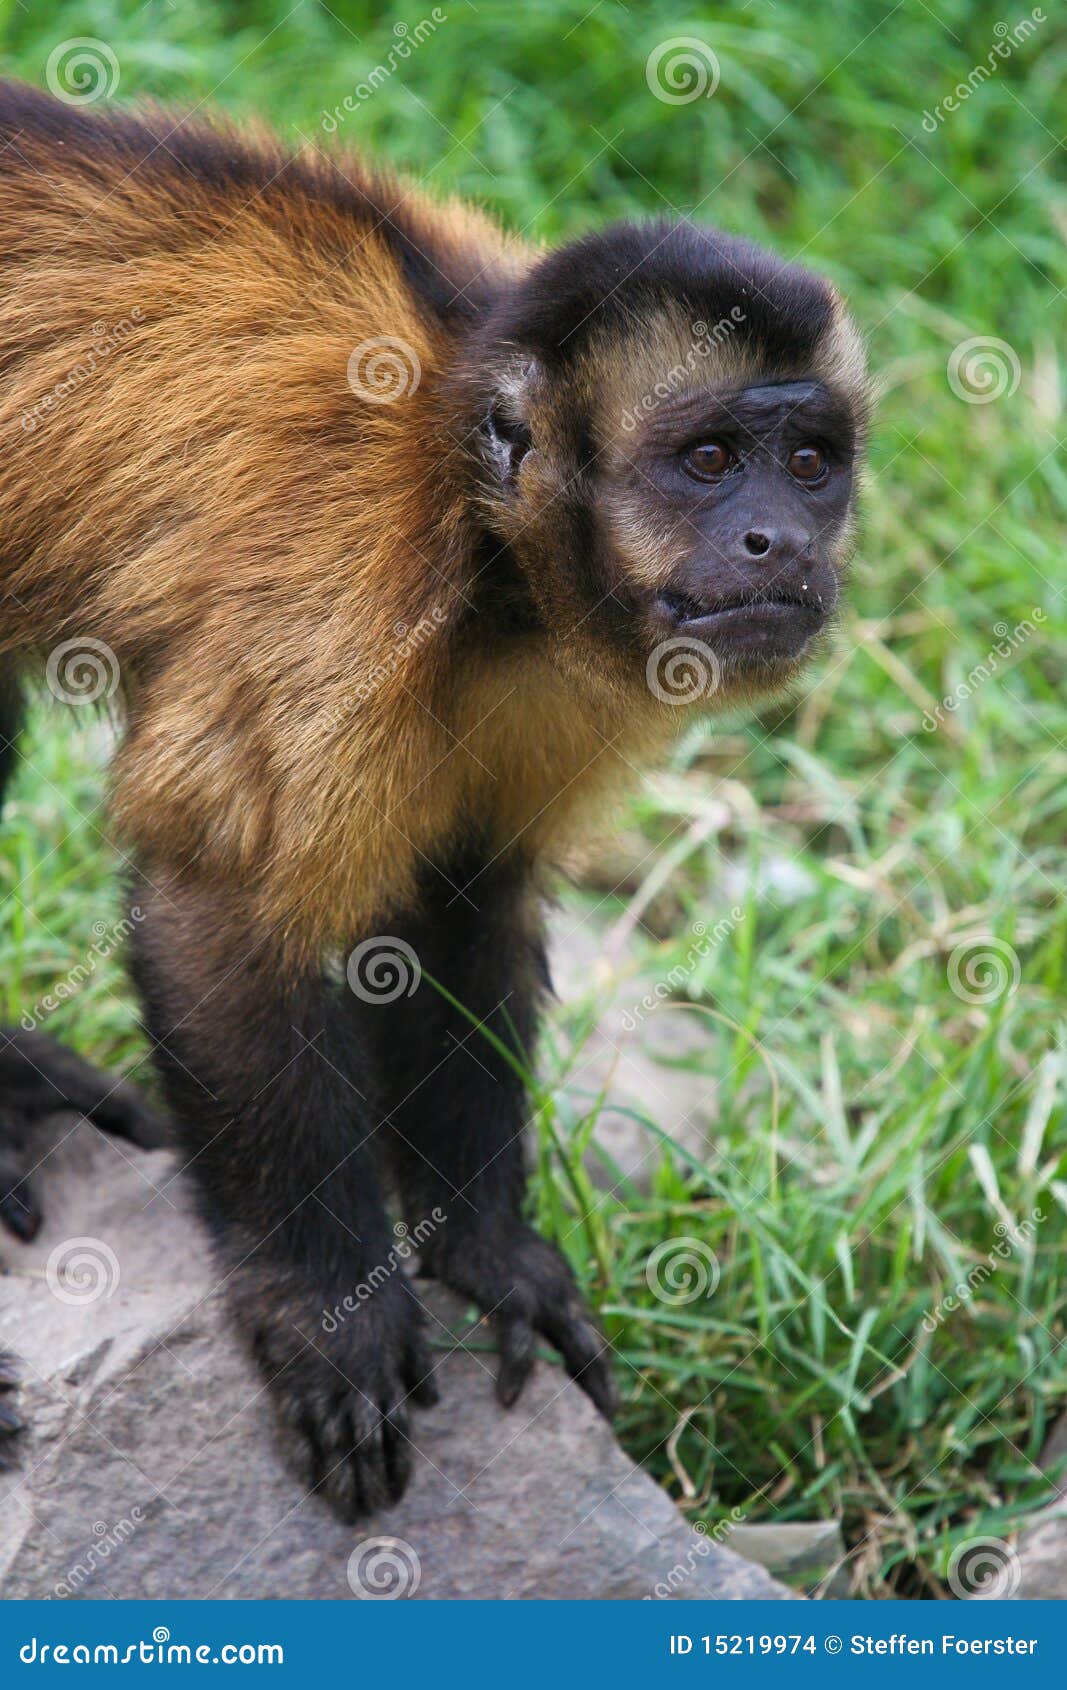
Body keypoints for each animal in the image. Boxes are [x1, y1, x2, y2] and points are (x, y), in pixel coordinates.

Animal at [0, 80, 868, 1520]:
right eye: (703, 459)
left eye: (808, 460)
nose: (781, 542)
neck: (481, 521)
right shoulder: (347, 572)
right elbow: (220, 914)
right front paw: (325, 1315)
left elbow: (459, 901)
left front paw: (487, 1251)